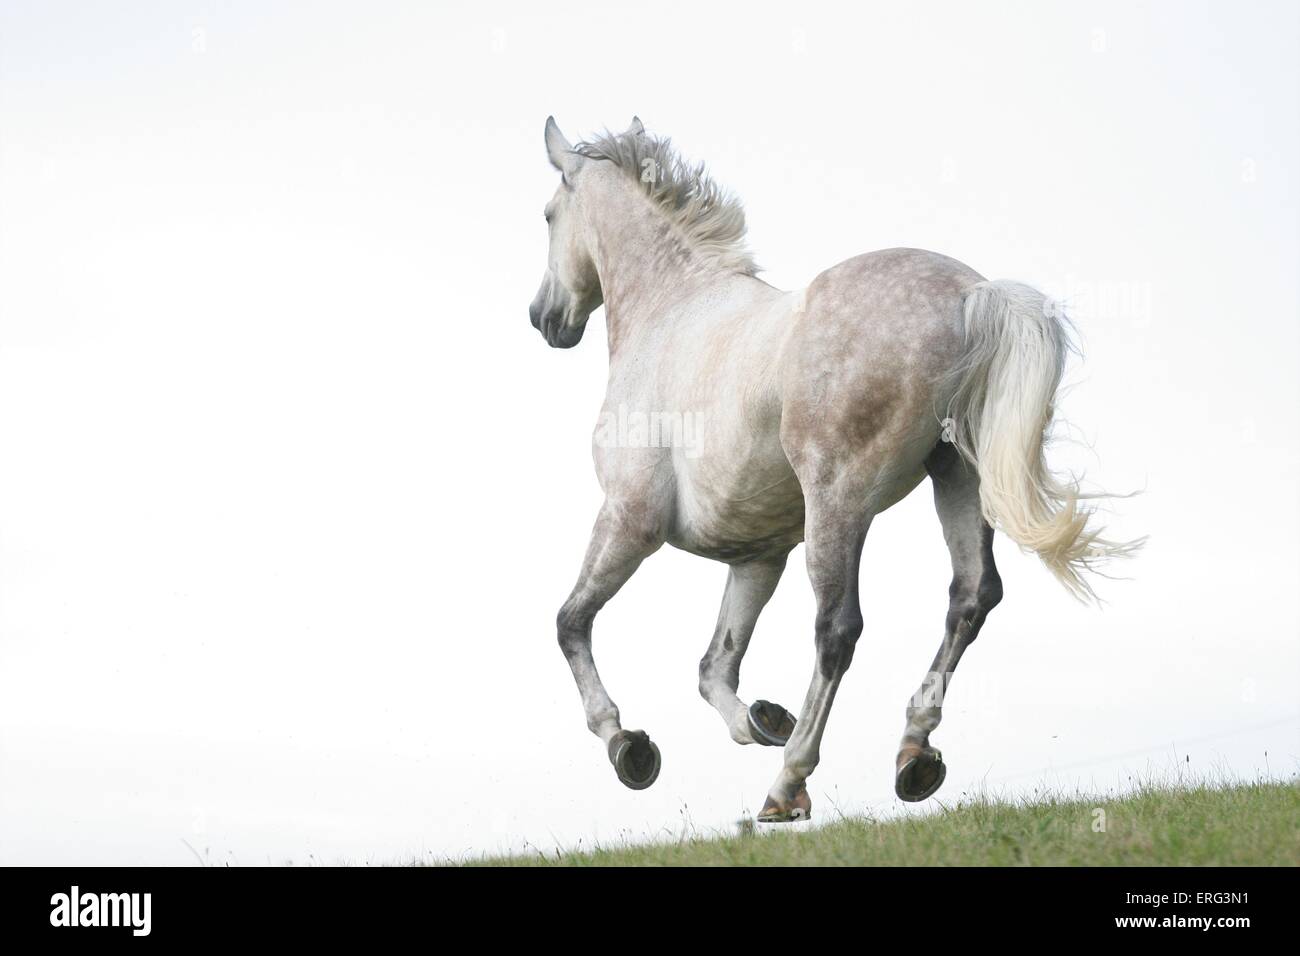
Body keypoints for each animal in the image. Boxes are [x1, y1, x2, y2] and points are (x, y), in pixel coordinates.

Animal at [528, 116, 1141, 822]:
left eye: (549, 214)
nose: (544, 318)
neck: (673, 314)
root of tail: (971, 295)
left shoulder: (630, 520)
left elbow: (572, 622)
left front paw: (627, 745)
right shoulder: (757, 555)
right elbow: (715, 669)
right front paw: (764, 718)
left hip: (838, 500)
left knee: (838, 629)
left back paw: (788, 785)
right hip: (957, 478)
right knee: (971, 596)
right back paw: (913, 754)